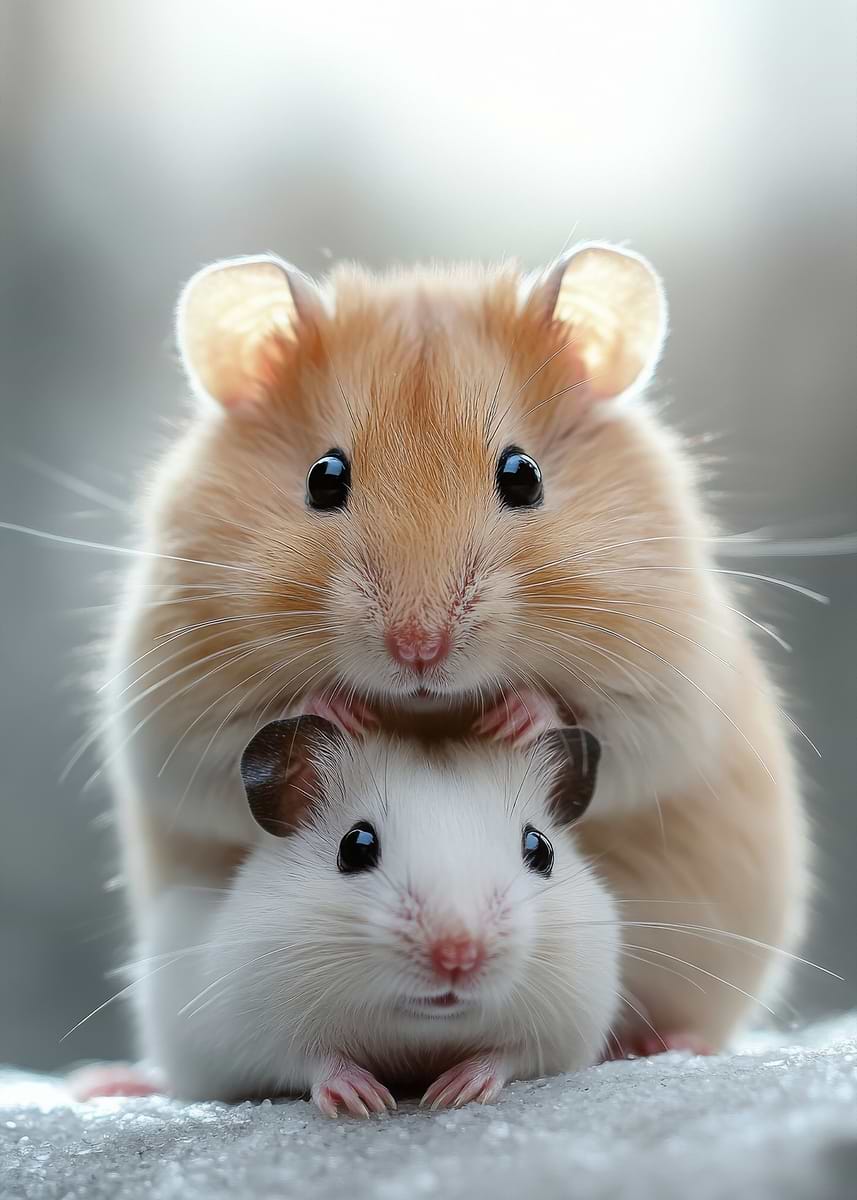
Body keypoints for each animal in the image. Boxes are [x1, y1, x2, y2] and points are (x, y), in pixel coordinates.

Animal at [105, 244, 806, 1055]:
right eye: (324, 477)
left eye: (522, 475)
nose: (419, 646)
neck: (427, 706)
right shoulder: (170, 717)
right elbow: (230, 749)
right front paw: (341, 707)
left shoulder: (670, 695)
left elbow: (608, 731)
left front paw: (512, 715)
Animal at [129, 717, 618, 1112]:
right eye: (355, 846)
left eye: (540, 848)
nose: (457, 956)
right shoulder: (253, 1028)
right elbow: (312, 1059)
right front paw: (367, 1102)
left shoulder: (566, 1029)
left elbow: (509, 1056)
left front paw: (451, 1094)